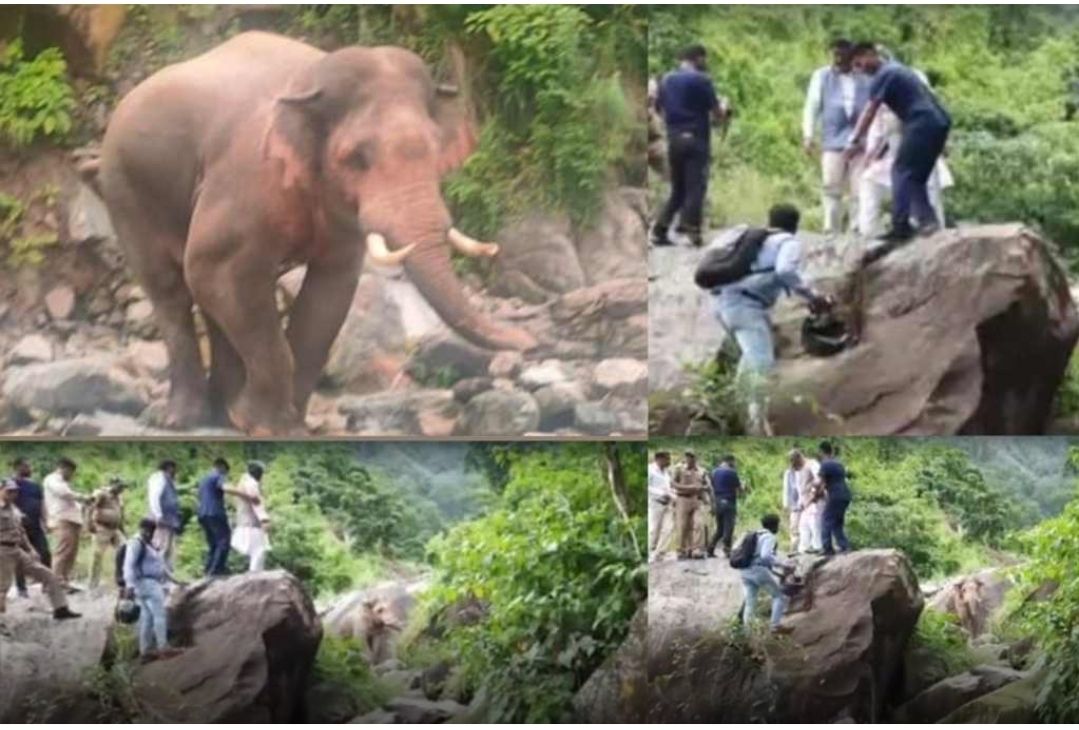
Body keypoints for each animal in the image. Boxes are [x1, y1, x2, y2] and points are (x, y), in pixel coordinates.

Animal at [90, 31, 537, 435]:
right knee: (172, 290)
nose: (533, 342)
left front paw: (287, 426)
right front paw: (263, 426)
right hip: (124, 188)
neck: (311, 83)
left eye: (434, 149)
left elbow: (329, 295)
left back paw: (221, 415)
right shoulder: (246, 181)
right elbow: (211, 267)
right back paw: (184, 419)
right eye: (356, 157)